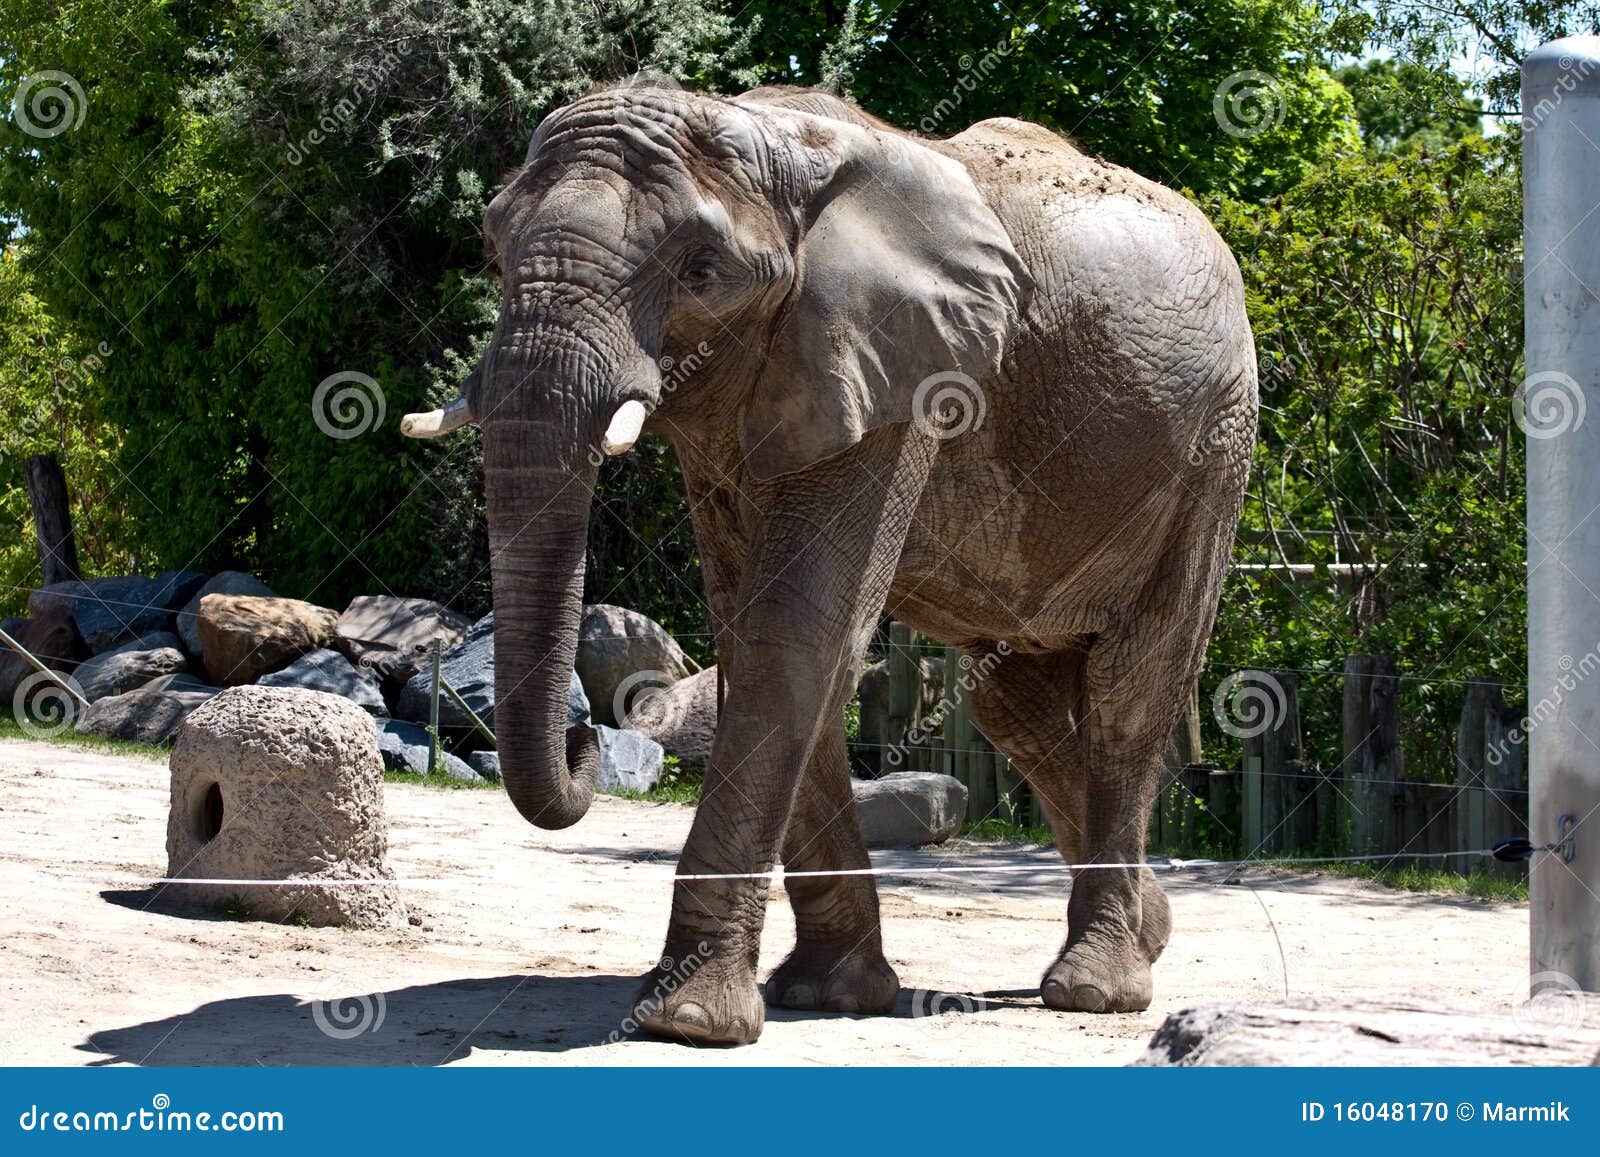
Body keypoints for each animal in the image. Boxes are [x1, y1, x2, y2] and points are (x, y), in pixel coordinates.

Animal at [402, 79, 1257, 1045]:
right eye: (491, 242)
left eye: (702, 272)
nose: (588, 738)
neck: (777, 141)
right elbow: (757, 641)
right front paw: (828, 994)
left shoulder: (902, 374)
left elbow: (799, 638)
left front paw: (687, 1019)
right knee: (1017, 701)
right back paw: (1151, 928)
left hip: (1214, 447)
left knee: (1130, 690)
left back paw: (1097, 986)